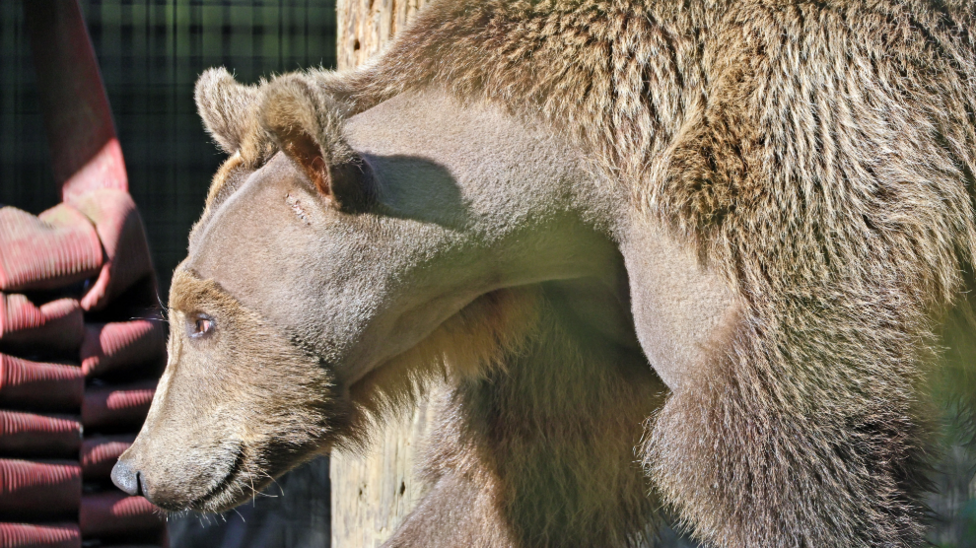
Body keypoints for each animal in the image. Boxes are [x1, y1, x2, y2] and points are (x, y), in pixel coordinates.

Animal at [114, 1, 976, 547]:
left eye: (201, 319)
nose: (134, 468)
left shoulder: (791, 202)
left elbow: (787, 464)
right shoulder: (586, 318)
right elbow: (523, 480)